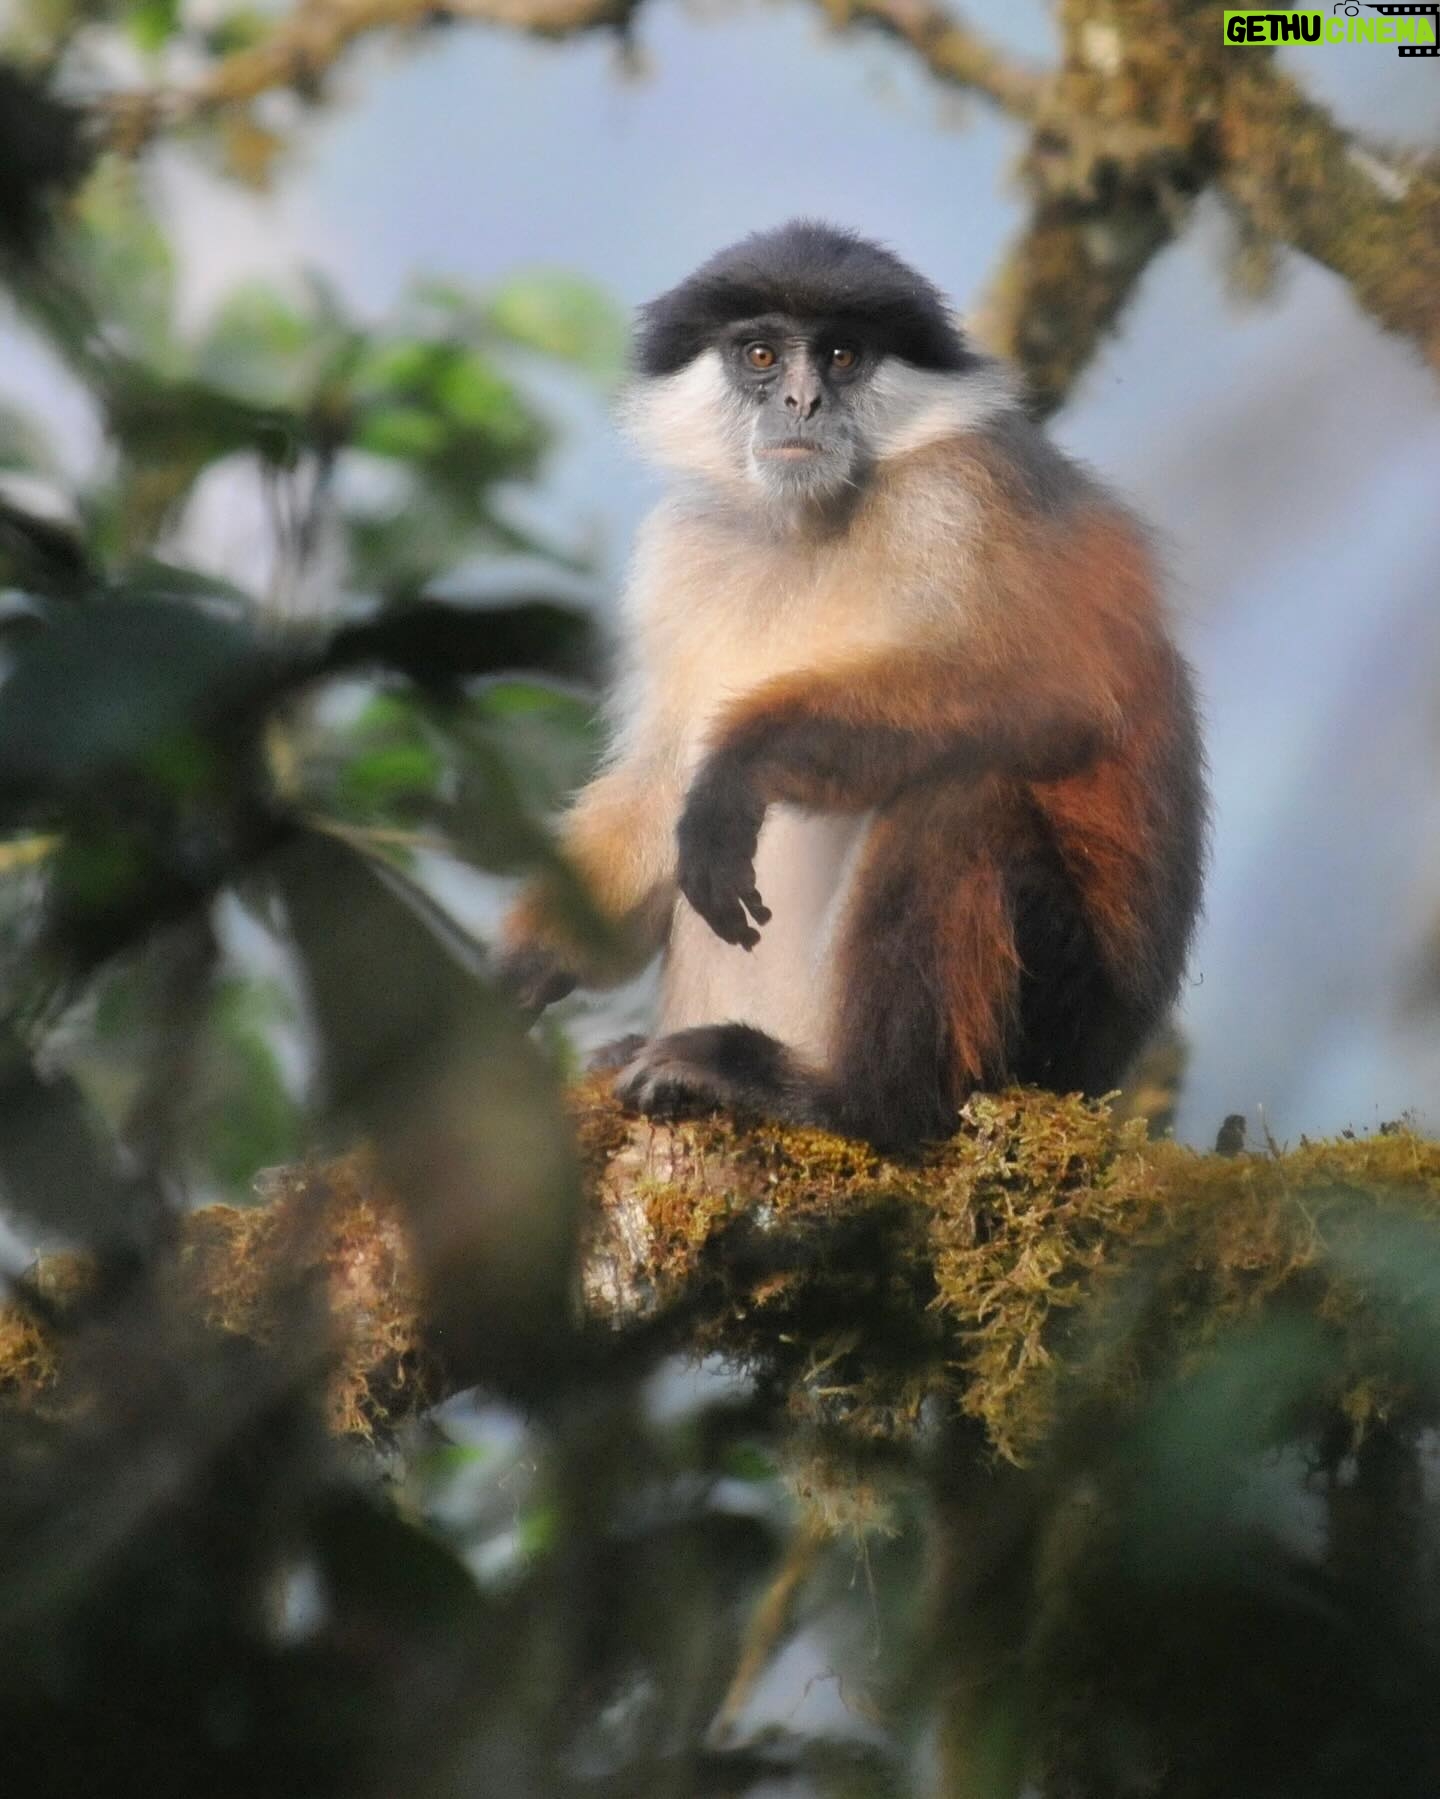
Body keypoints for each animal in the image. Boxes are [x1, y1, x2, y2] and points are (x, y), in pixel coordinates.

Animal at [497, 220, 1207, 1152]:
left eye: (840, 355)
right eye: (762, 354)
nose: (802, 403)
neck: (811, 525)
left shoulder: (960, 494)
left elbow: (1057, 692)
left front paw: (738, 766)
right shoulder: (679, 552)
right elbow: (658, 784)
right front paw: (525, 965)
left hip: (1055, 1035)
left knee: (958, 796)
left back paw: (848, 1099)